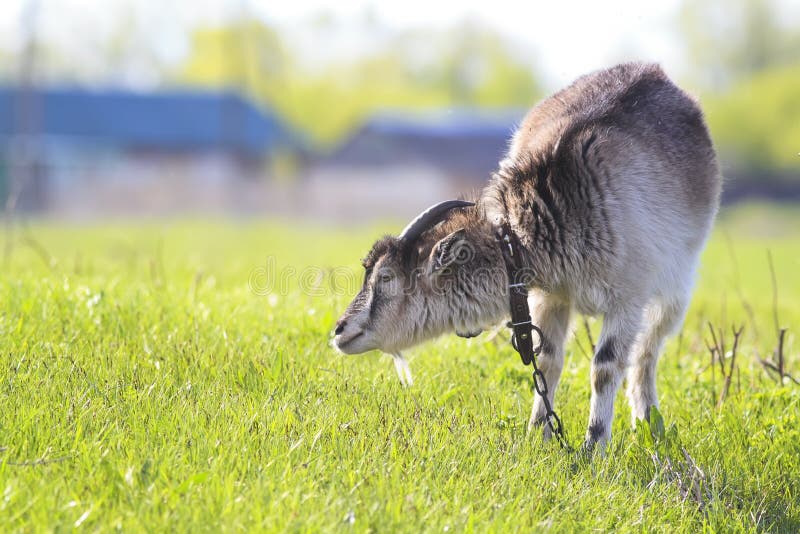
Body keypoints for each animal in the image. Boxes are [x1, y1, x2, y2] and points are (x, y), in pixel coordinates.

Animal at [333, 63, 721, 449]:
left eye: (386, 277)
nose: (340, 330)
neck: (558, 210)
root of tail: (657, 72)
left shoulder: (628, 296)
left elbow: (605, 365)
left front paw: (594, 445)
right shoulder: (551, 294)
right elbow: (547, 360)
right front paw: (539, 435)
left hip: (677, 284)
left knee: (647, 349)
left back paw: (649, 420)